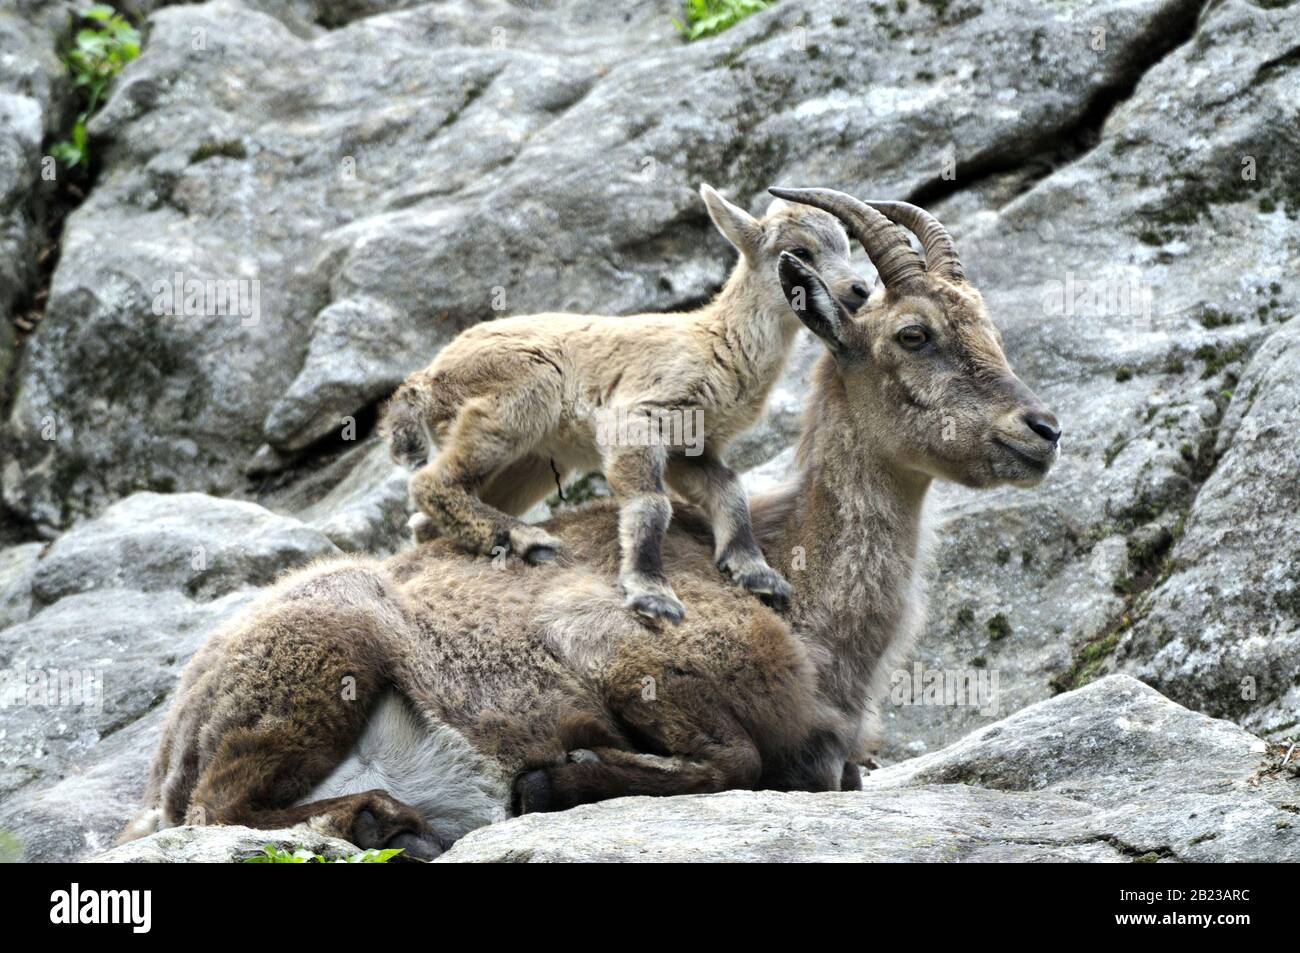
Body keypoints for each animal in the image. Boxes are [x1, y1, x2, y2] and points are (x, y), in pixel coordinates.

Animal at [380, 184, 870, 623]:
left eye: (846, 246)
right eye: (800, 252)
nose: (860, 289)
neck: (719, 343)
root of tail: (430, 379)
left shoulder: (689, 447)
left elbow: (729, 490)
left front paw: (756, 574)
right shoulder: (637, 415)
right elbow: (652, 504)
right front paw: (652, 594)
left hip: (530, 462)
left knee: (426, 520)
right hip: (524, 392)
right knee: (429, 482)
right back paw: (526, 540)